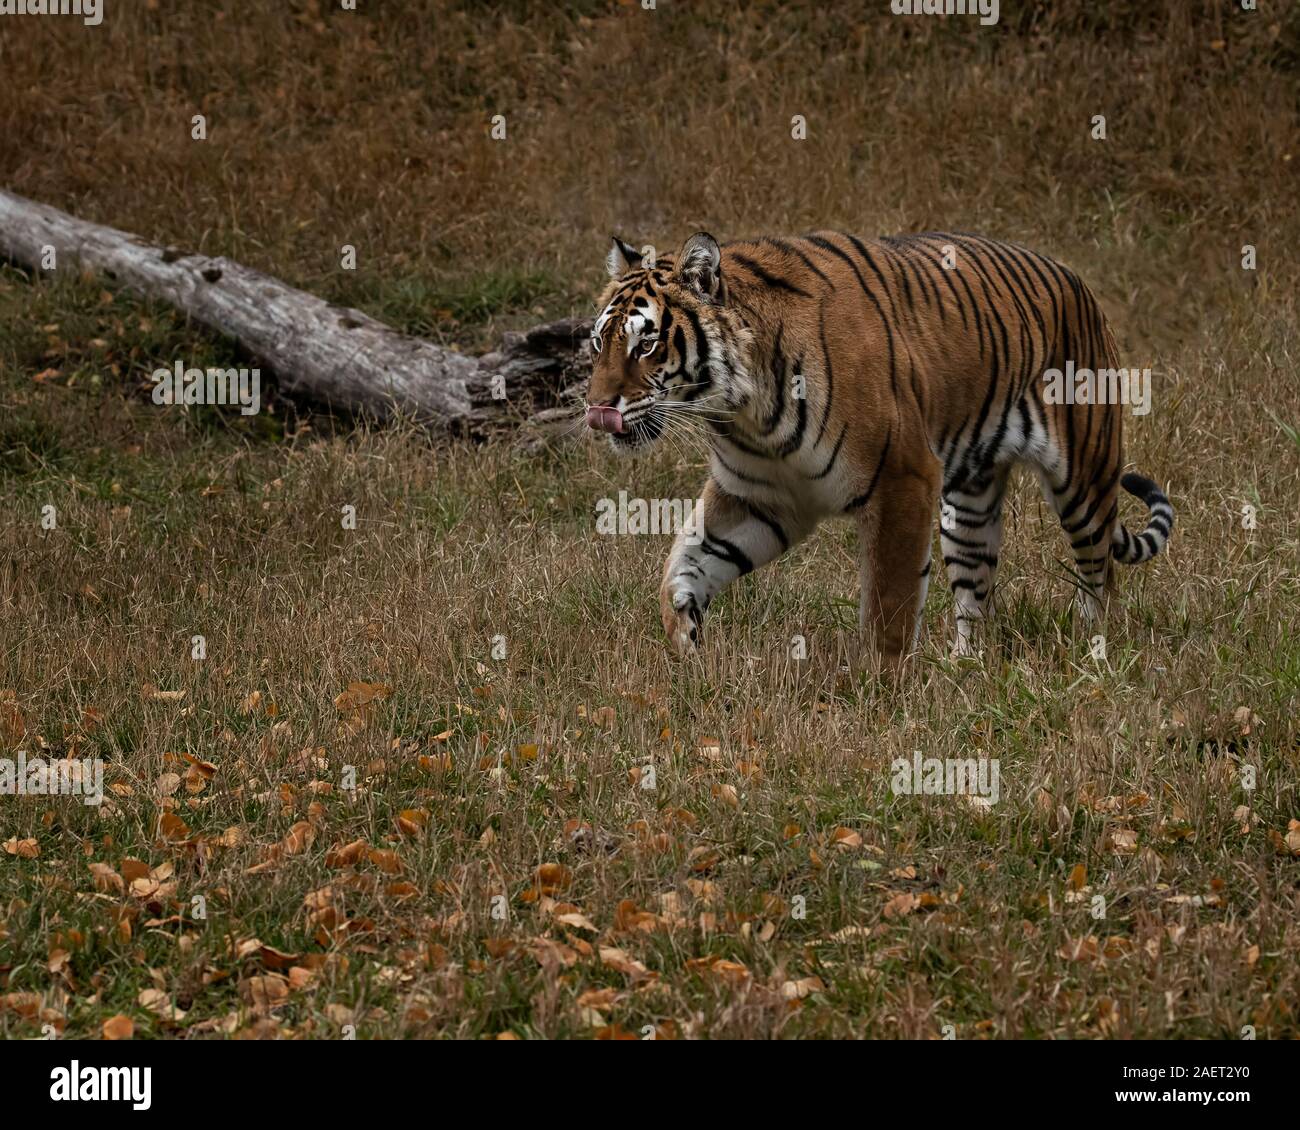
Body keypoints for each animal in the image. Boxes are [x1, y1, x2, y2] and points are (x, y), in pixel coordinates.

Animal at [584, 230, 1174, 672]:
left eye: (646, 343)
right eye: (598, 342)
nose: (595, 409)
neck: (748, 409)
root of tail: (1078, 282)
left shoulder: (902, 478)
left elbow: (889, 603)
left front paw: (881, 690)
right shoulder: (760, 497)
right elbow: (683, 565)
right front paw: (686, 641)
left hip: (1084, 477)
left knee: (1101, 575)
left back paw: (1094, 653)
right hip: (970, 502)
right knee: (976, 592)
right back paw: (964, 667)